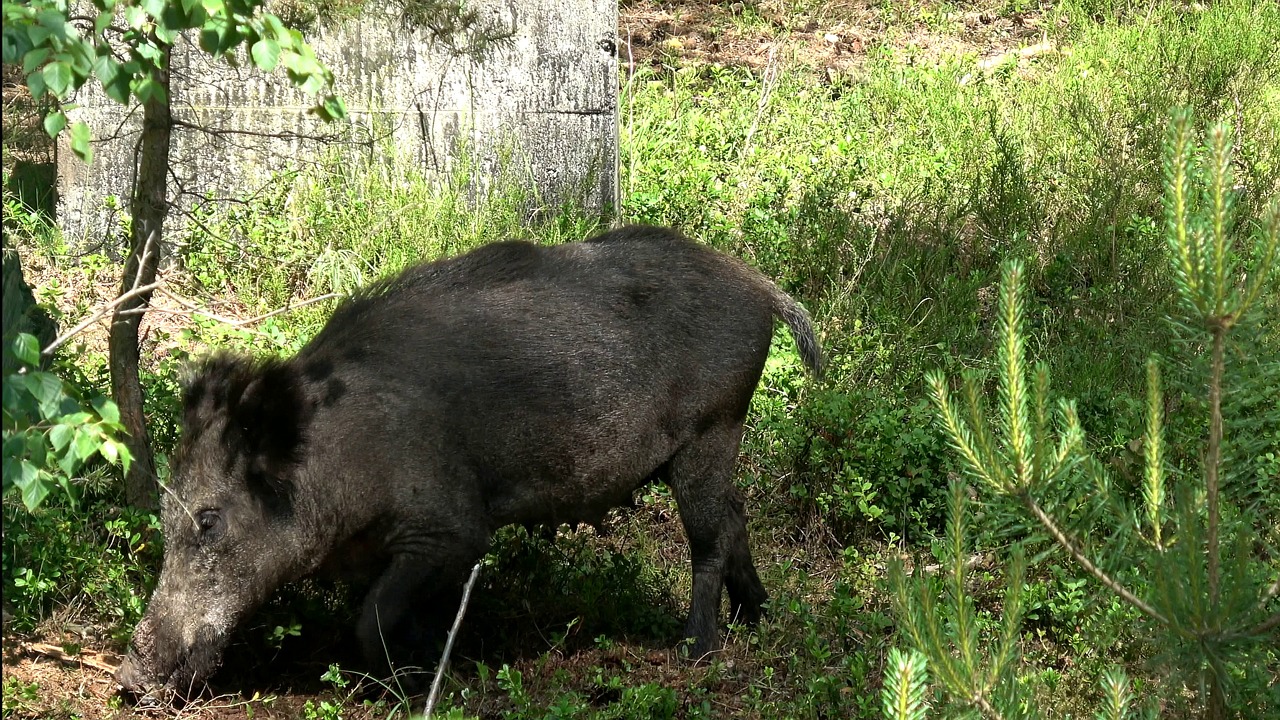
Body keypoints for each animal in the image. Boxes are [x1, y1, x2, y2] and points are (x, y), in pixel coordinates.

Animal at [115, 224, 822, 696]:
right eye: (167, 518)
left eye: (209, 520)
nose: (127, 678)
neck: (342, 458)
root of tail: (759, 284)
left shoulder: (452, 527)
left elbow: (372, 619)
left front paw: (419, 682)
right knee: (735, 517)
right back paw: (760, 618)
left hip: (713, 426)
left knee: (710, 536)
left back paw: (696, 651)